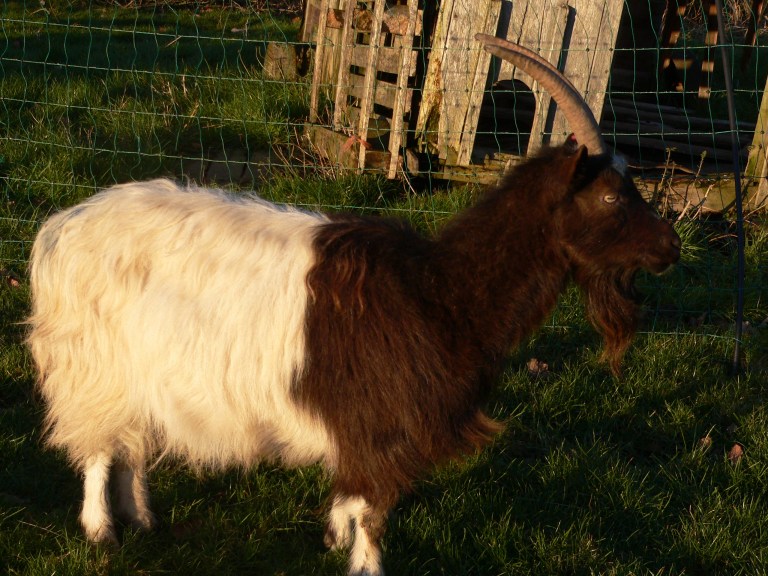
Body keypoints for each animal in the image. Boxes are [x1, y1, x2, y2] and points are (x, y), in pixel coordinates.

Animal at [26, 35, 681, 576]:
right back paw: (102, 530)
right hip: (94, 367)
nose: (671, 248)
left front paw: (334, 532)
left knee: (133, 444)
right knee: (100, 448)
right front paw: (363, 561)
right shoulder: (379, 427)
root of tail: (64, 225)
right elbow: (372, 512)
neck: (441, 293)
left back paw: (143, 518)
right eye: (609, 196)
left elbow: (351, 502)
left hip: (138, 373)